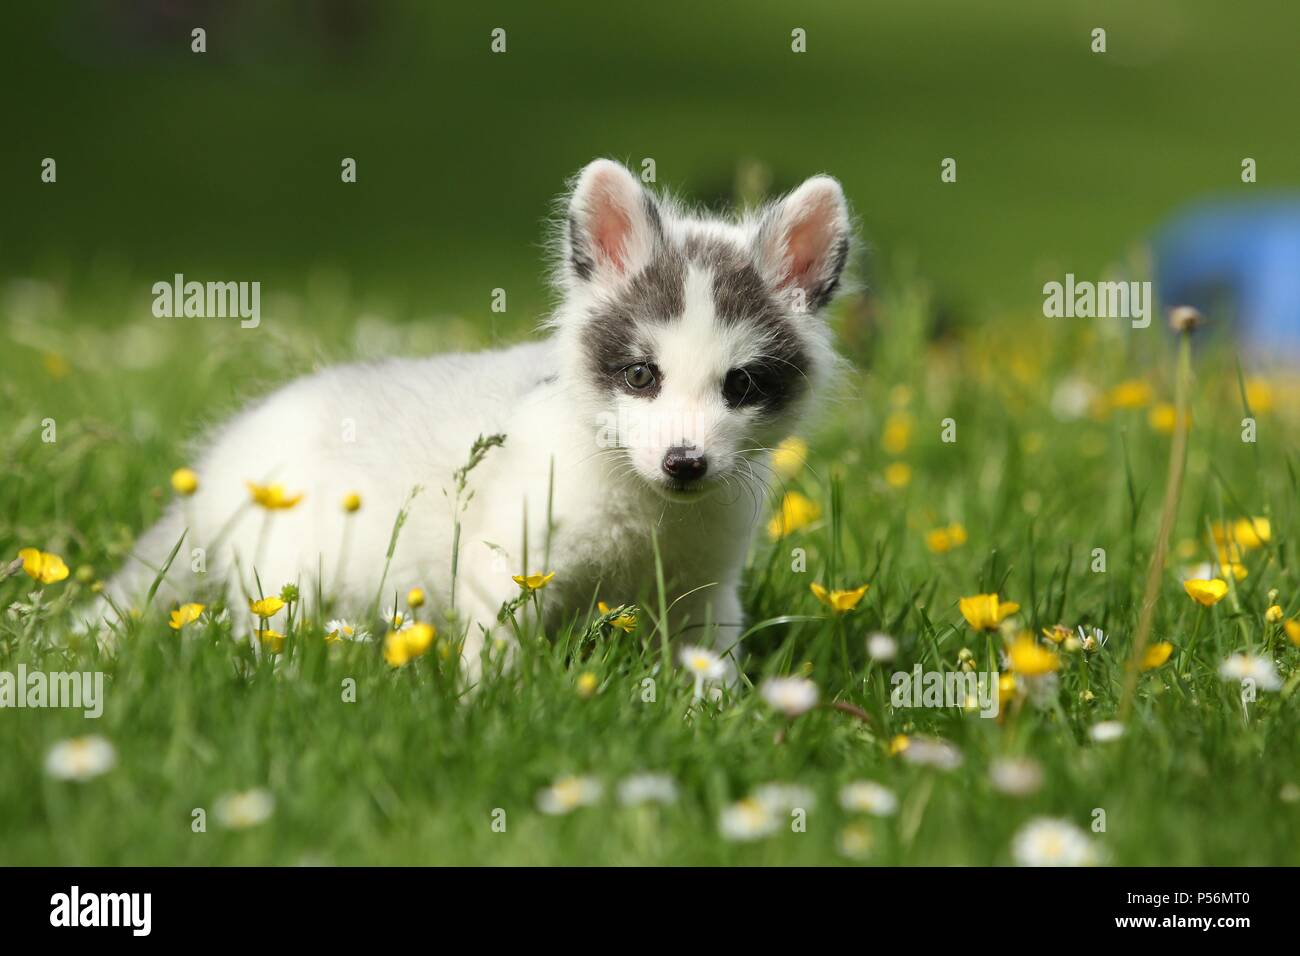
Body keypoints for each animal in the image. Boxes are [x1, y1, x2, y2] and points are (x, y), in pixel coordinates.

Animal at [100, 159, 852, 685]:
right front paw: (486, 706)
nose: (685, 463)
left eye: (740, 384)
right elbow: (494, 653)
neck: (647, 511)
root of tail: (221, 461)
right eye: (642, 375)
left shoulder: (707, 592)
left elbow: (709, 667)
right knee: (271, 629)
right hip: (284, 571)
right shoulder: (508, 569)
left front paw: (716, 719)